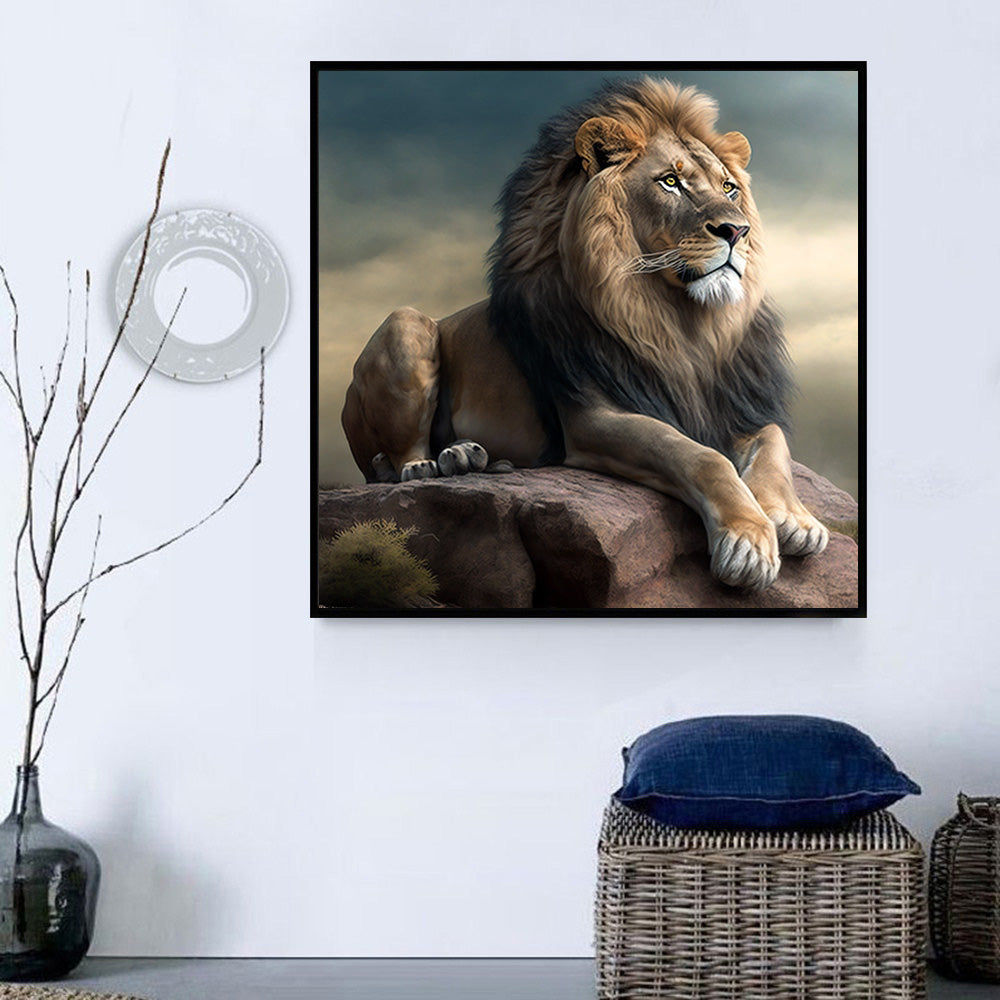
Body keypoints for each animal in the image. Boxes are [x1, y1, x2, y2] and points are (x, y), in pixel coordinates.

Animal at [341, 77, 829, 592]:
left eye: (730, 188)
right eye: (669, 182)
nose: (737, 231)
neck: (682, 327)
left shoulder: (737, 408)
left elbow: (774, 445)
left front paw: (796, 520)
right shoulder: (593, 417)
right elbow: (700, 457)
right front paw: (748, 541)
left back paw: (467, 458)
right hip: (405, 322)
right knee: (389, 464)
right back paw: (422, 465)